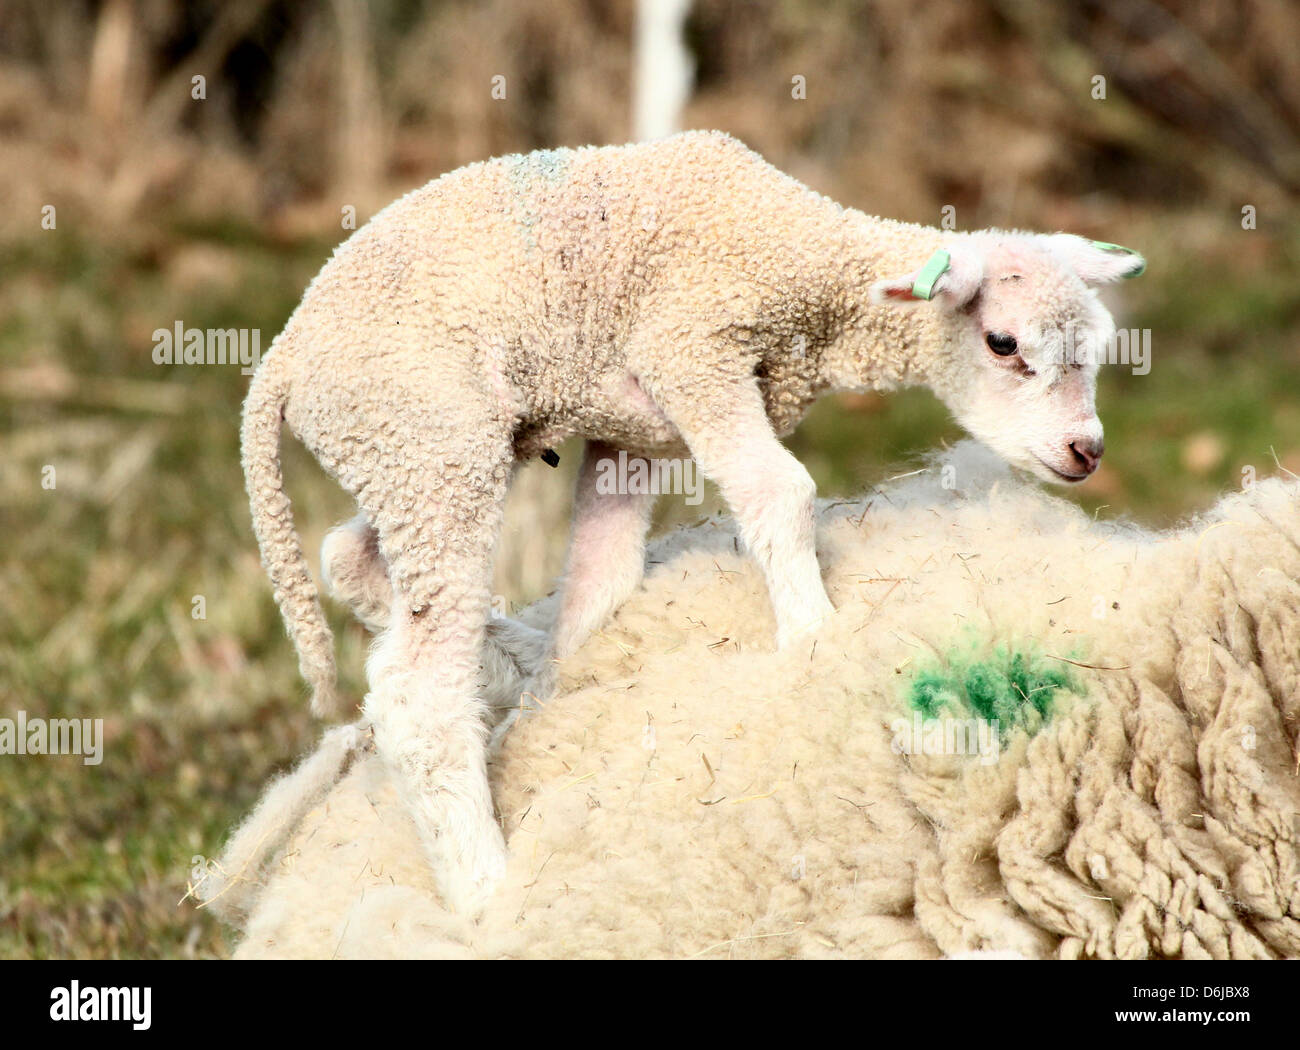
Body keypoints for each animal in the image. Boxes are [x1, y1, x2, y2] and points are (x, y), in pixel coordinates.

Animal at [240, 129, 1145, 915]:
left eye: (1098, 348)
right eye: (1003, 343)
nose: (1087, 451)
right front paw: (814, 637)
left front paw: (571, 678)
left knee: (351, 559)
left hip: (417, 456)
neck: (803, 269)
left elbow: (603, 579)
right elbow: (780, 492)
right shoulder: (692, 352)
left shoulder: (632, 426)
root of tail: (279, 364)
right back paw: (485, 889)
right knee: (415, 693)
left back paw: (513, 664)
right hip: (426, 441)